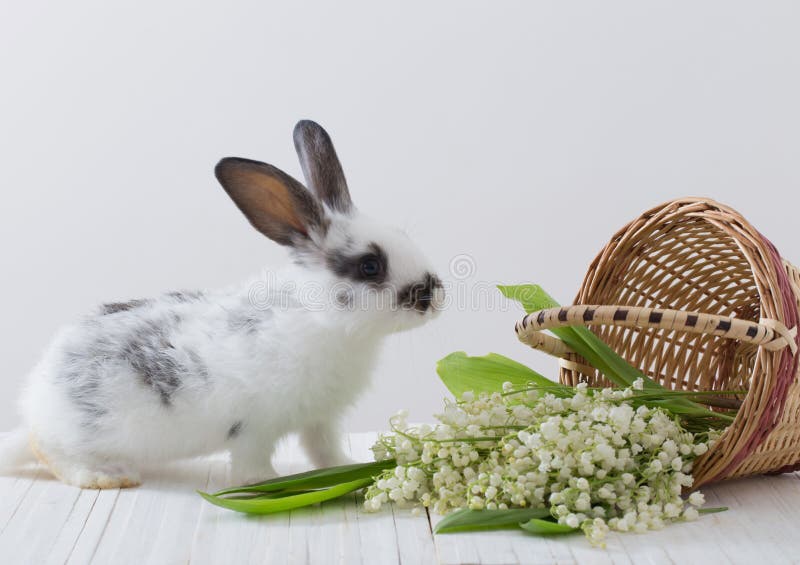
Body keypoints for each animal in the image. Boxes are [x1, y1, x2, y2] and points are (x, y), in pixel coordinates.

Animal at [0, 120, 445, 489]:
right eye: (370, 265)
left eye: (403, 235)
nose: (434, 294)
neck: (322, 321)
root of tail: (36, 402)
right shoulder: (253, 426)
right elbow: (251, 459)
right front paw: (262, 483)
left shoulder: (320, 418)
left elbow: (322, 448)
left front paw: (347, 468)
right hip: (78, 430)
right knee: (48, 450)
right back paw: (107, 476)